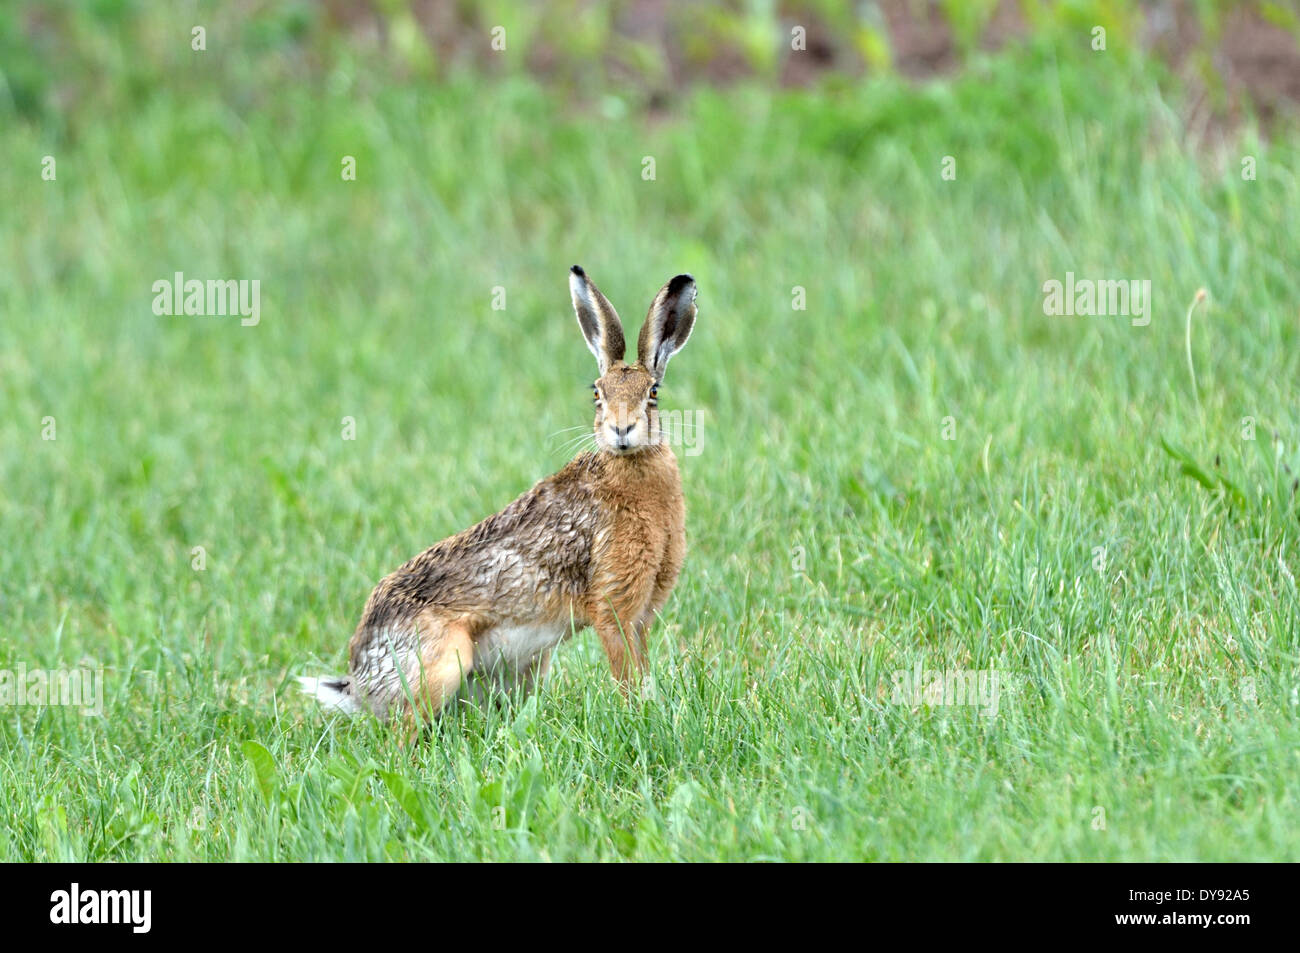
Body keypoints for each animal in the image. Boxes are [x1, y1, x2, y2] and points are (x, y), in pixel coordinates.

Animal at [299, 266, 697, 723]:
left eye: (653, 393)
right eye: (597, 393)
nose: (621, 429)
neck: (629, 465)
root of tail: (360, 685)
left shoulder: (642, 611)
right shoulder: (614, 606)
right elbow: (625, 669)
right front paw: (636, 713)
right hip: (445, 662)